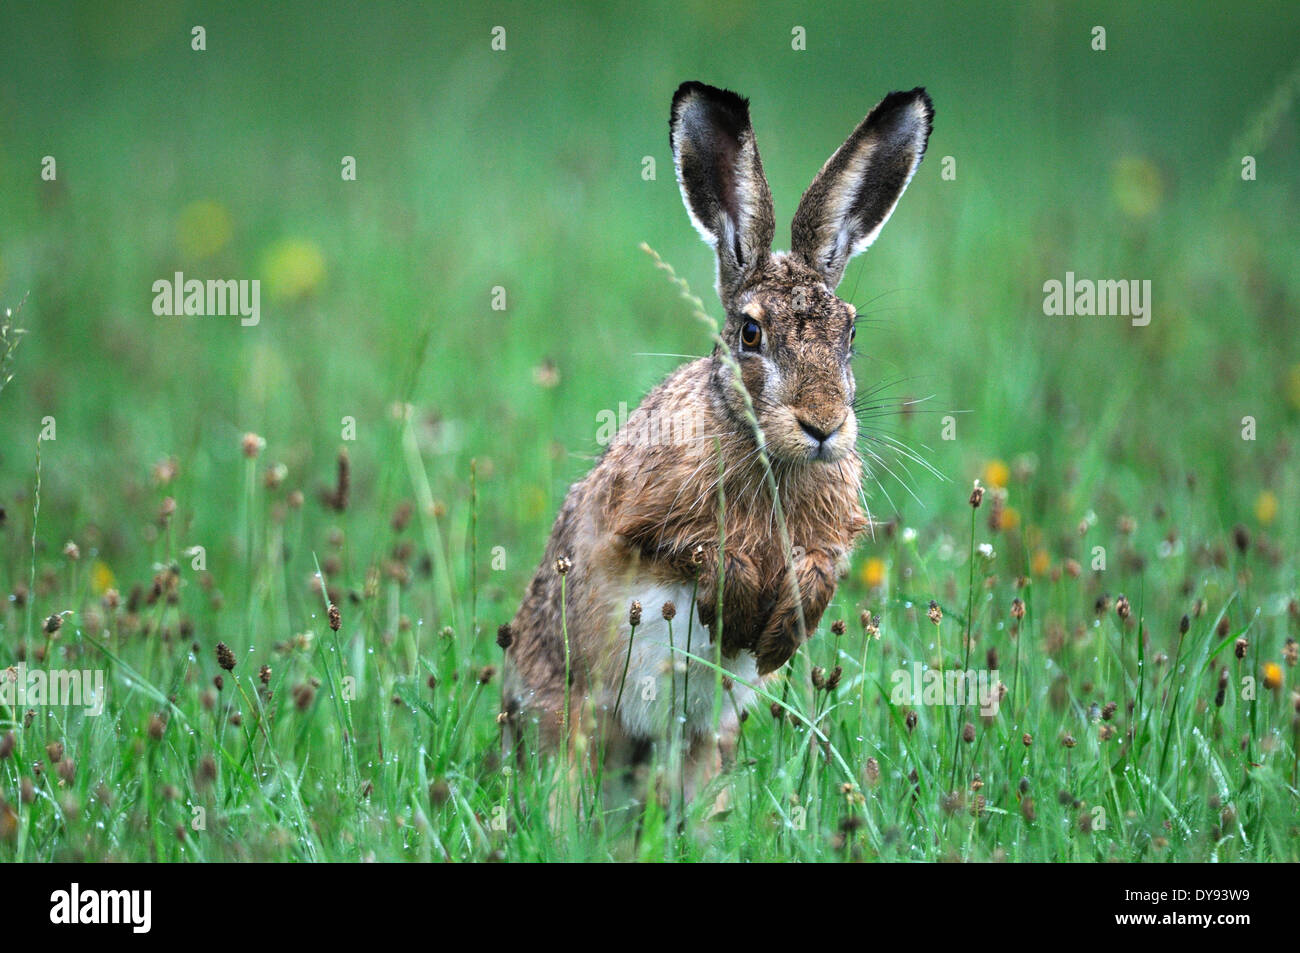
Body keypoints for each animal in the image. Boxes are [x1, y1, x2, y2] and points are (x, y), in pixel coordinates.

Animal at [502, 80, 933, 797]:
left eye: (848, 333)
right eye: (750, 334)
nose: (823, 425)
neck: (766, 451)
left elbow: (818, 570)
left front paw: (781, 633)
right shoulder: (637, 521)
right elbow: (701, 550)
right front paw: (740, 603)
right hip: (570, 724)